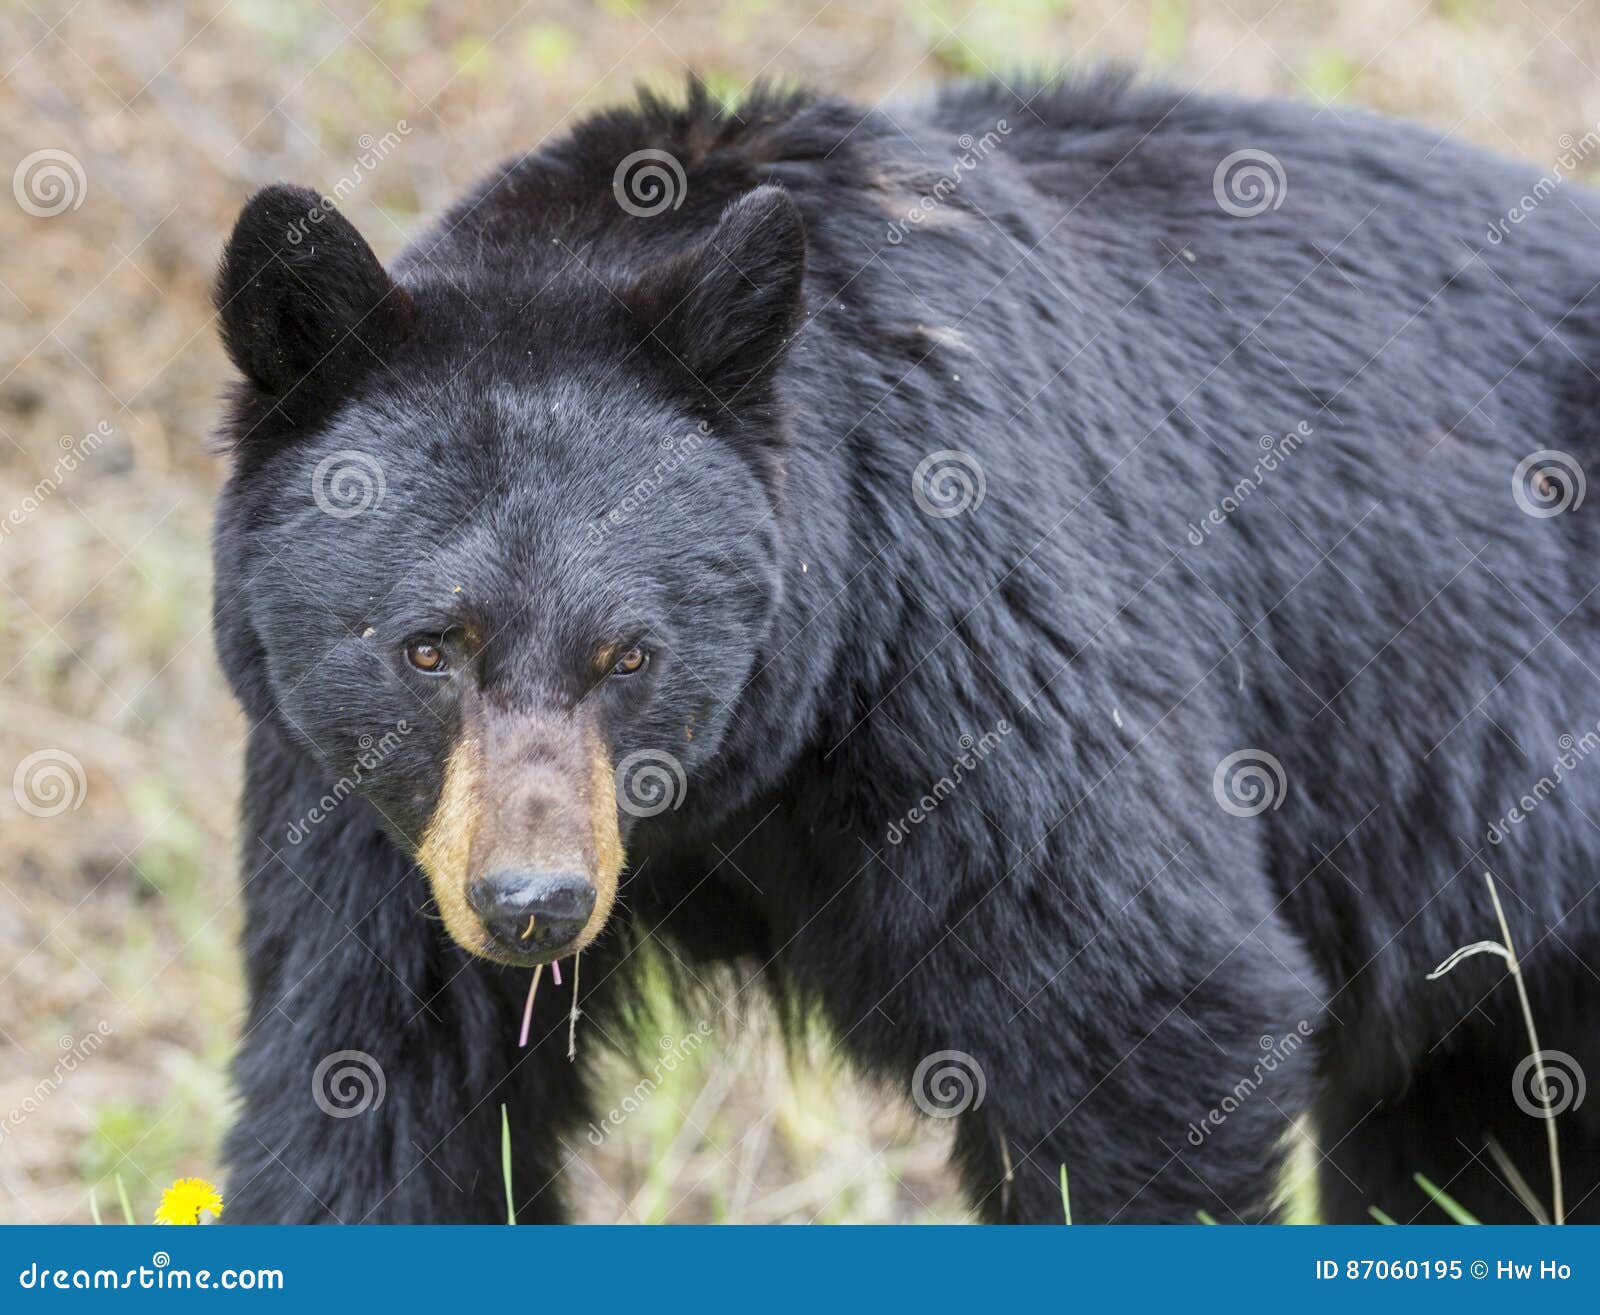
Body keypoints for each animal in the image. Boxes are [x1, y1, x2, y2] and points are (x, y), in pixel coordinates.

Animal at [210, 73, 1600, 1224]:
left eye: (630, 656)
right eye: (428, 648)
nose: (532, 904)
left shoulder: (967, 630)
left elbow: (1142, 1006)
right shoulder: (366, 814)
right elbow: (374, 1085)